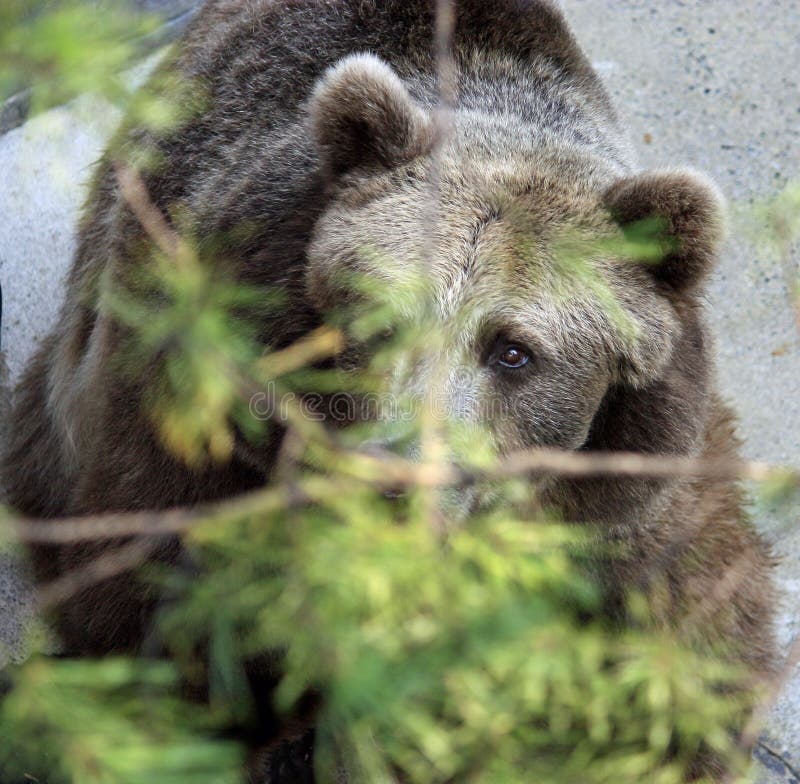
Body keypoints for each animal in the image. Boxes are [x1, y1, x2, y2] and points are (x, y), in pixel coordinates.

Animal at [1, 0, 776, 781]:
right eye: (378, 316)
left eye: (514, 351)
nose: (394, 478)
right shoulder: (197, 408)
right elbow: (165, 599)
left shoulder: (632, 488)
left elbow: (682, 633)